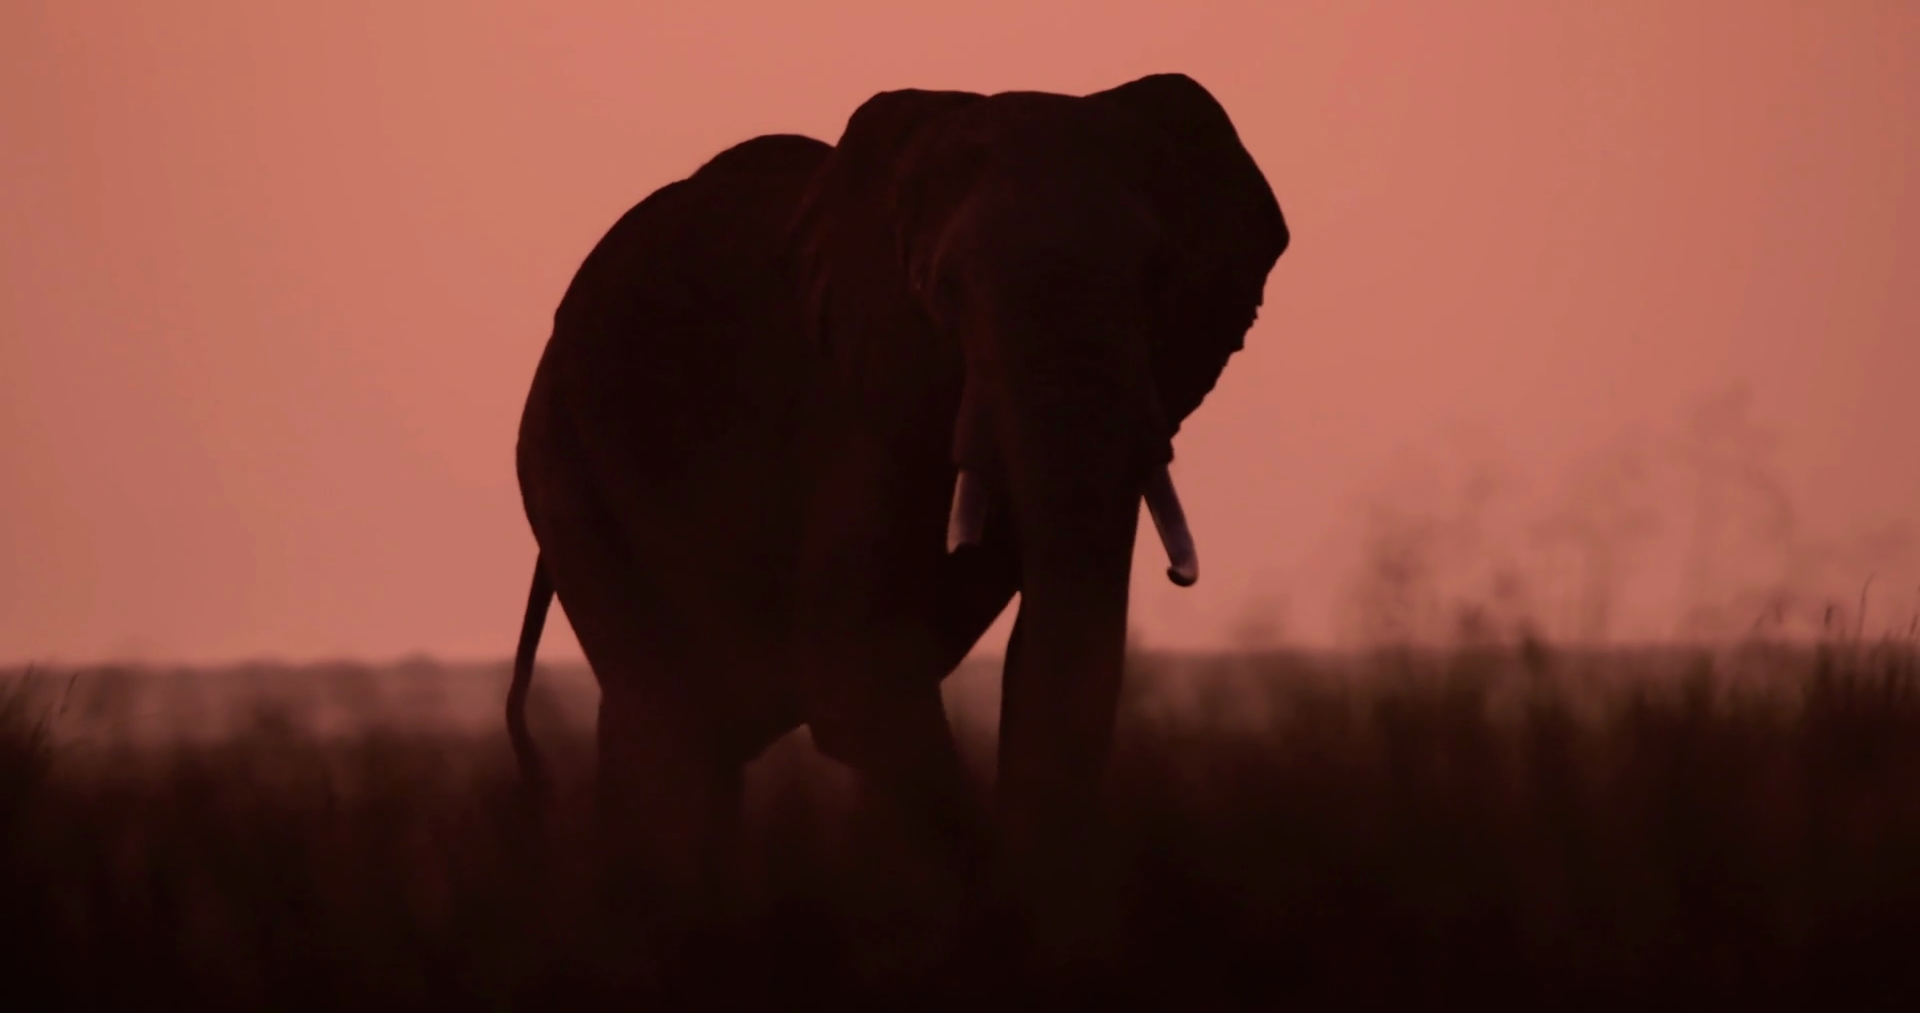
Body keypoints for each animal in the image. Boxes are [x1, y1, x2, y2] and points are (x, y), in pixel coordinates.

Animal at [507, 72, 1289, 940]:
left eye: (1158, 279)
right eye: (944, 291)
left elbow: (1069, 645)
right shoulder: (856, 403)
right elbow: (857, 666)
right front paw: (997, 916)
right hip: (563, 461)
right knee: (673, 732)